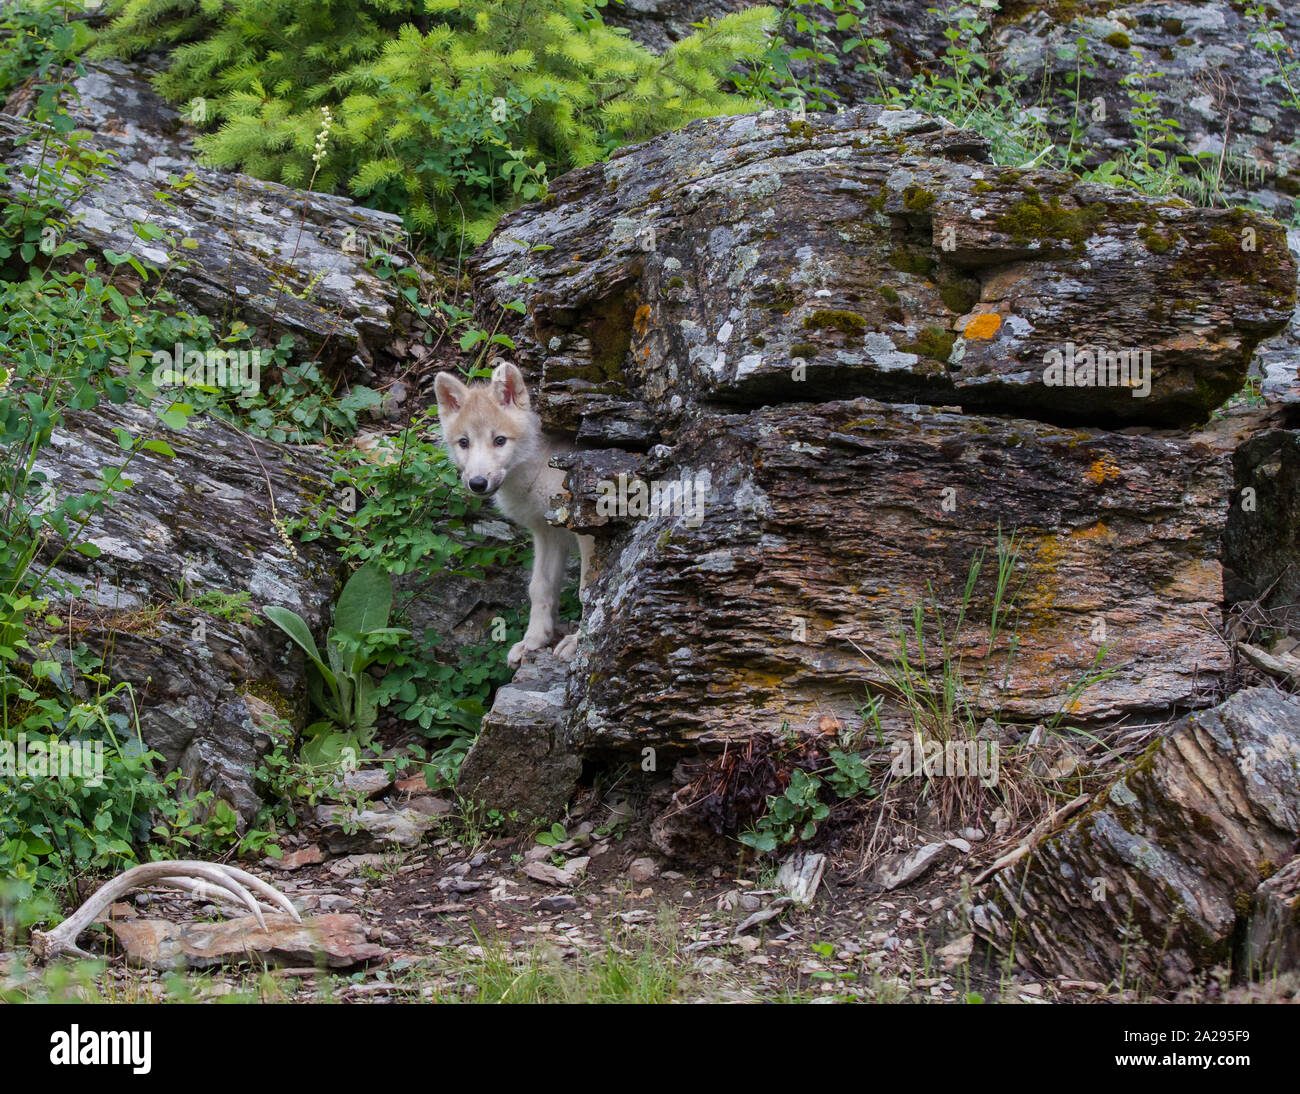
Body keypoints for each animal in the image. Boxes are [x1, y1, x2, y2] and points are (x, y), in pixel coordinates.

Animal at [434, 361, 594, 667]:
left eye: (499, 440)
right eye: (464, 442)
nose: (478, 483)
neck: (540, 469)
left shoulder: (588, 534)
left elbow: (589, 592)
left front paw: (577, 643)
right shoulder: (547, 534)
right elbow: (539, 587)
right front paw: (534, 640)